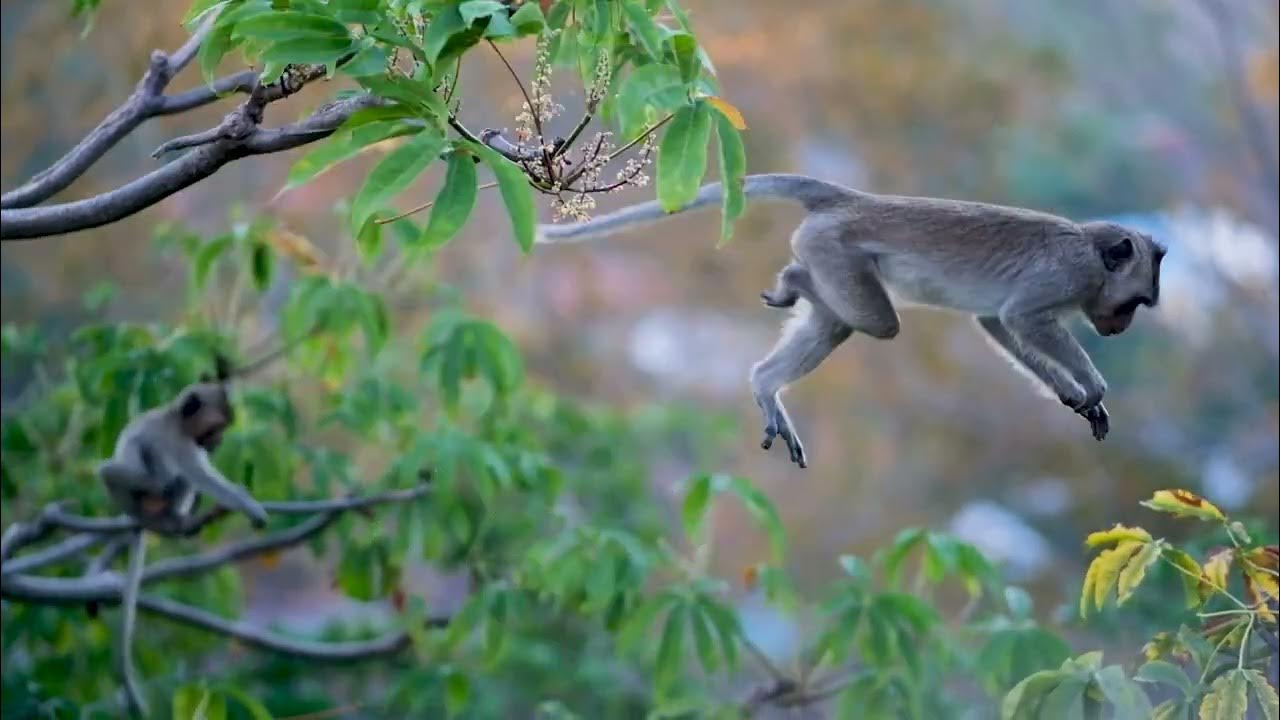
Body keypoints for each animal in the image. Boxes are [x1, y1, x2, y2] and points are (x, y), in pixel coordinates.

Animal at [534, 173, 1166, 468]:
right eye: (1135, 302)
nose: (1121, 328)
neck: (1091, 249)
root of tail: (850, 199)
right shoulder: (1067, 275)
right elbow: (1023, 319)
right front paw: (1092, 385)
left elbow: (995, 322)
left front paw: (1073, 395)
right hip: (834, 248)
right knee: (876, 321)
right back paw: (795, 281)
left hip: (831, 252)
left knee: (838, 321)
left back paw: (767, 381)